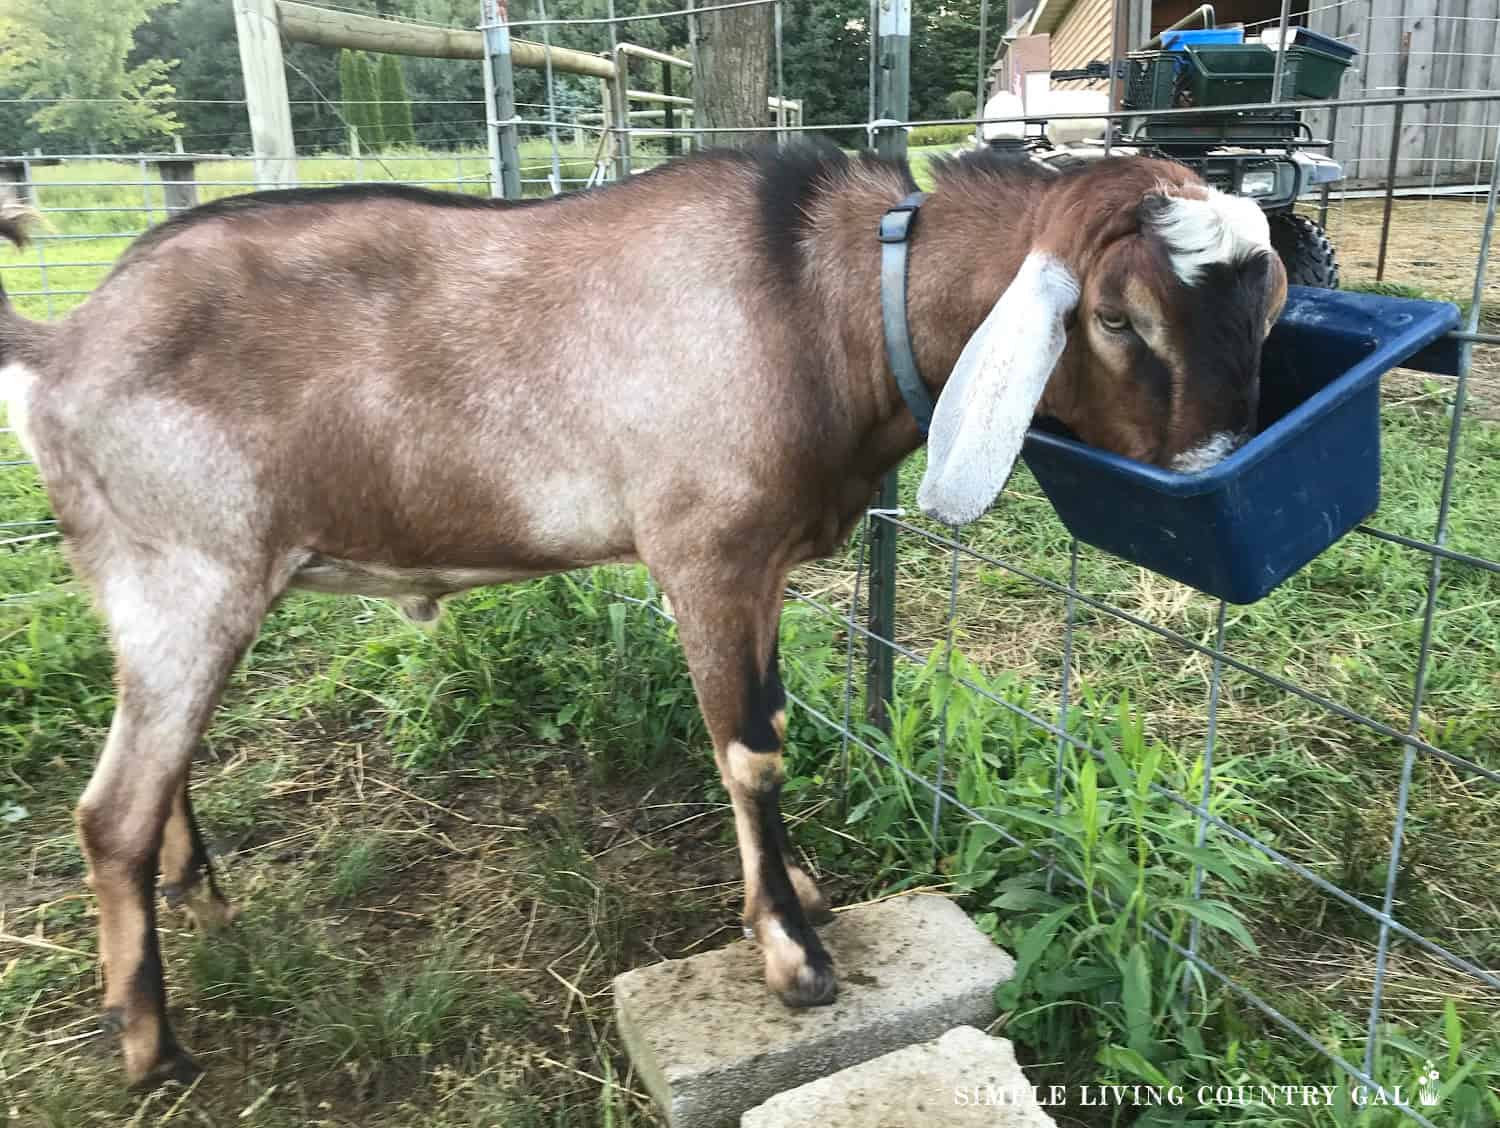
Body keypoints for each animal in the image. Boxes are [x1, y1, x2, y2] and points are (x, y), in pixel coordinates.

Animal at [0, 145, 1287, 1089]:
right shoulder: (703, 552)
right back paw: (152, 1046)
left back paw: (197, 893)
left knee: (156, 767)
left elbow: (771, 721)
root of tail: (63, 343)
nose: (1215, 470)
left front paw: (802, 888)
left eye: (1267, 306)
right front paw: (793, 958)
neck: (817, 302)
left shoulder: (758, 568)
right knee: (108, 812)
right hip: (185, 572)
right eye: (1119, 319)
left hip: (174, 593)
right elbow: (749, 750)